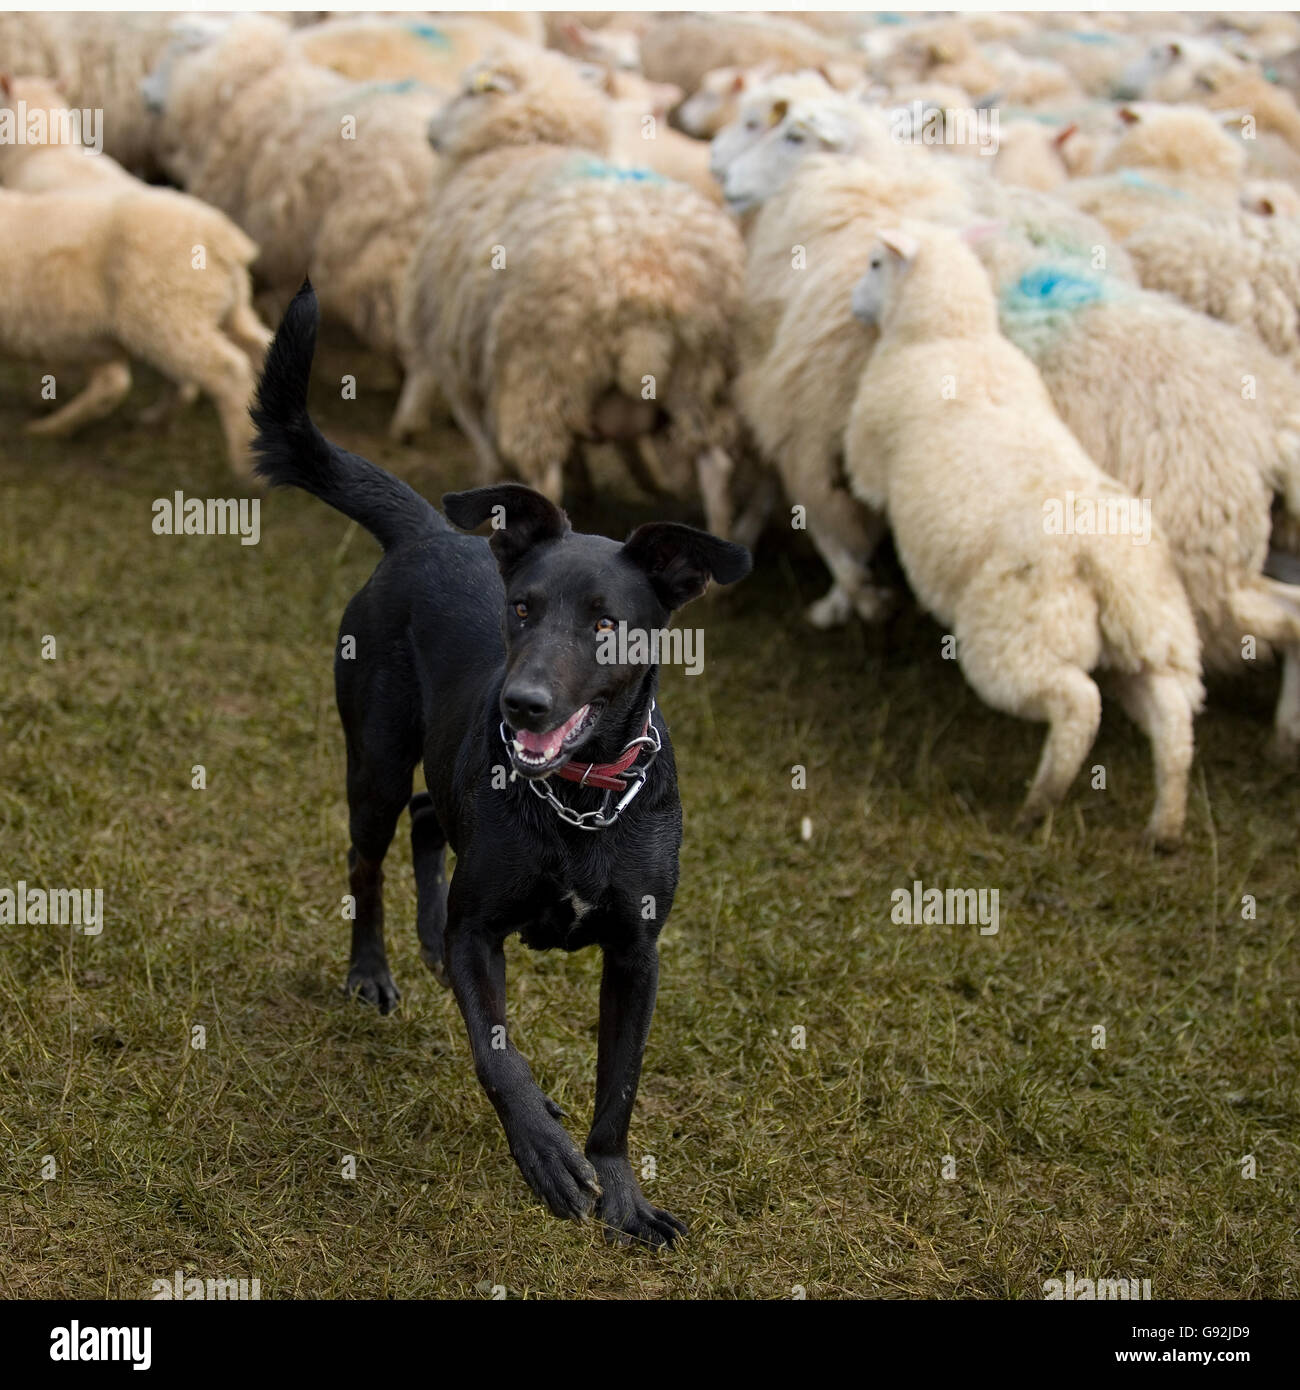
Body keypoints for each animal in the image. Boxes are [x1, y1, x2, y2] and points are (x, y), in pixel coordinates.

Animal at [394, 49, 748, 541]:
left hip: (541, 366)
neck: (524, 144)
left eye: (469, 91)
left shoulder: (457, 353)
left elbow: (479, 433)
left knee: (543, 472)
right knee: (714, 465)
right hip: (702, 373)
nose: (430, 130)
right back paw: (719, 548)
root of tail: (647, 278)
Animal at [844, 224, 1203, 846]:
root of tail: (1105, 558)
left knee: (1078, 704)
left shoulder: (869, 453)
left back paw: (1038, 804)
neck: (951, 333)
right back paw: (1165, 825)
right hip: (1147, 635)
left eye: (873, 263)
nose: (850, 303)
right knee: (1172, 718)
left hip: (1016, 638)